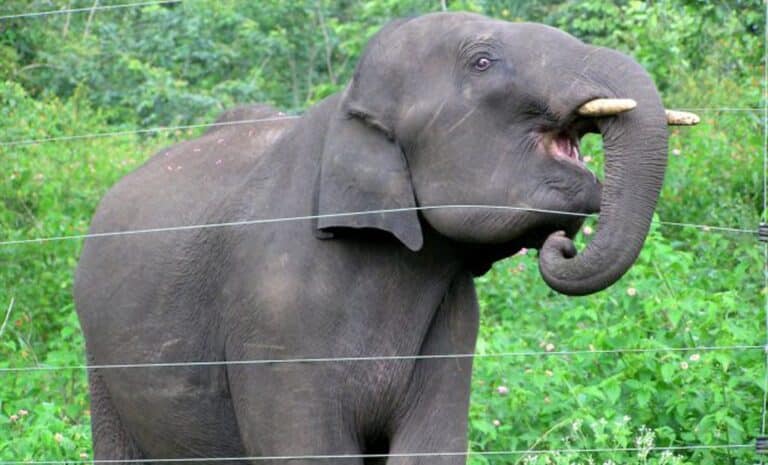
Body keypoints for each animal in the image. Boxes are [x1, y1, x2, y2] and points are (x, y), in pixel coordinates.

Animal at [75, 12, 686, 465]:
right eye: (482, 62)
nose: (562, 246)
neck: (348, 104)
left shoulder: (454, 323)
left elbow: (430, 451)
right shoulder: (273, 314)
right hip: (101, 361)